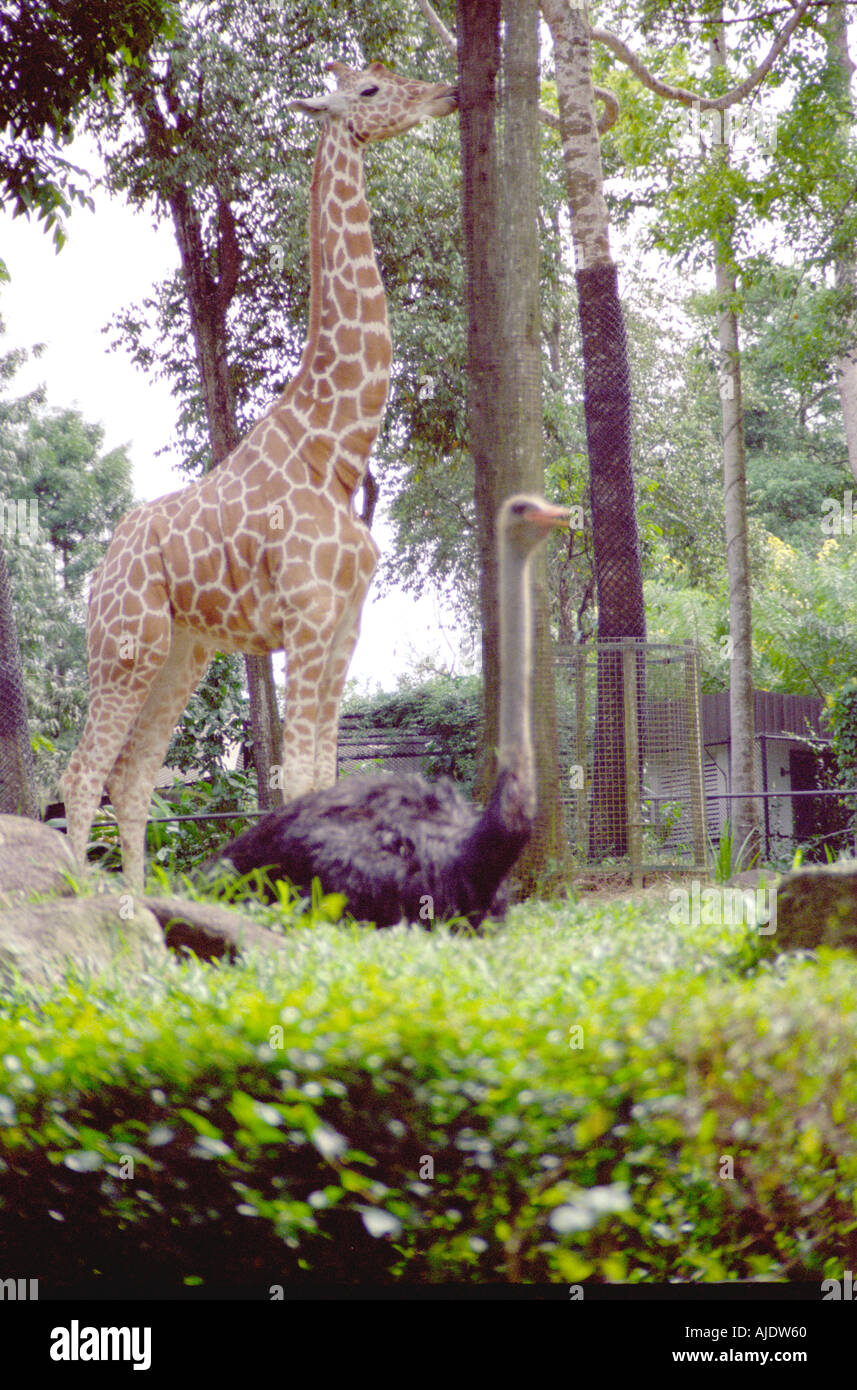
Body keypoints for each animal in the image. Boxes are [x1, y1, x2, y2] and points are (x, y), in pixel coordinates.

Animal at [61, 60, 458, 888]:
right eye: (368, 90)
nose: (448, 91)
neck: (334, 450)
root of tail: (102, 566)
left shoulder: (344, 624)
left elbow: (327, 774)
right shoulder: (304, 621)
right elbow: (298, 777)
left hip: (181, 654)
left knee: (133, 777)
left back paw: (136, 905)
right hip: (124, 647)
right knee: (83, 775)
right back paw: (83, 899)